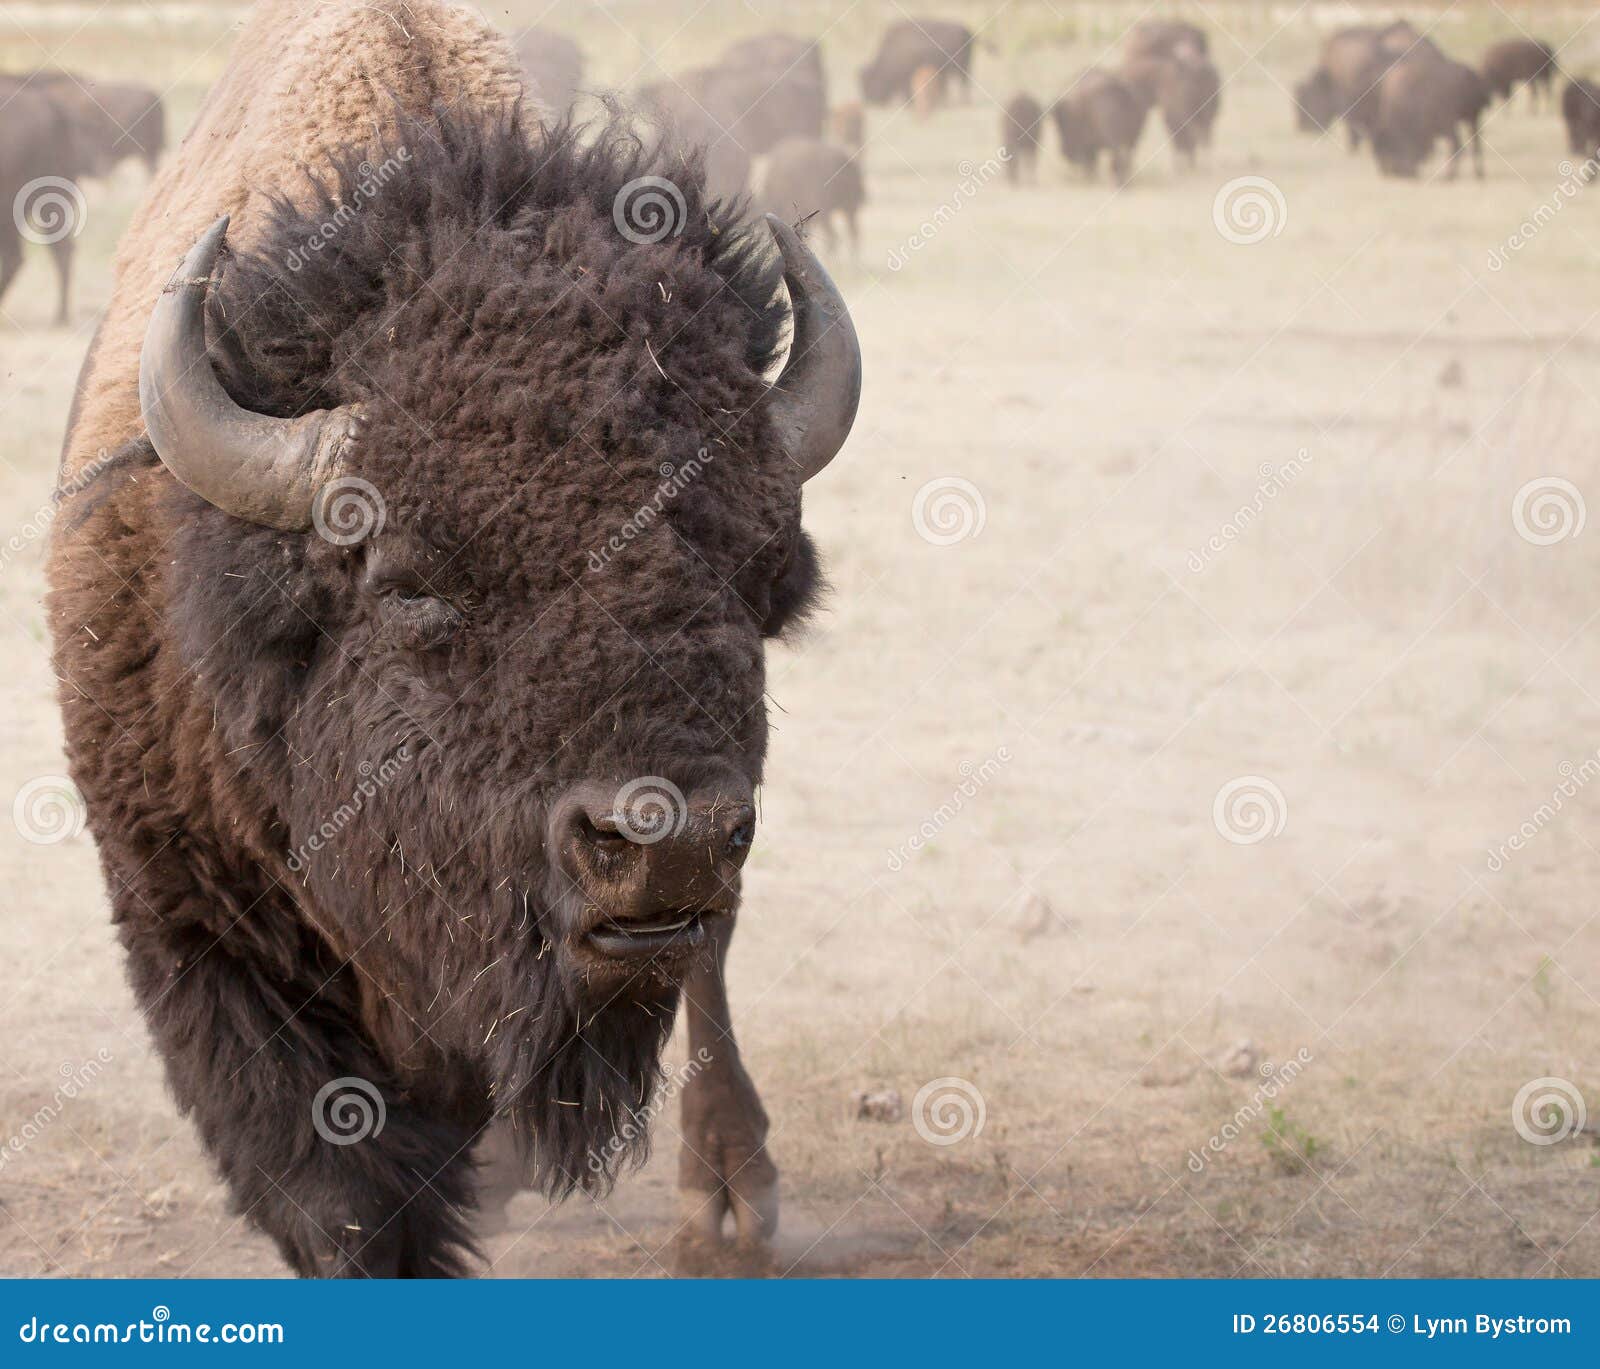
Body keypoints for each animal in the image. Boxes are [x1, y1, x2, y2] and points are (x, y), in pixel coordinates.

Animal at [47, 0, 860, 1278]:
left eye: (758, 574)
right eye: (411, 582)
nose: (663, 840)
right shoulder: (194, 931)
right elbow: (345, 1203)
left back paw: (727, 1202)